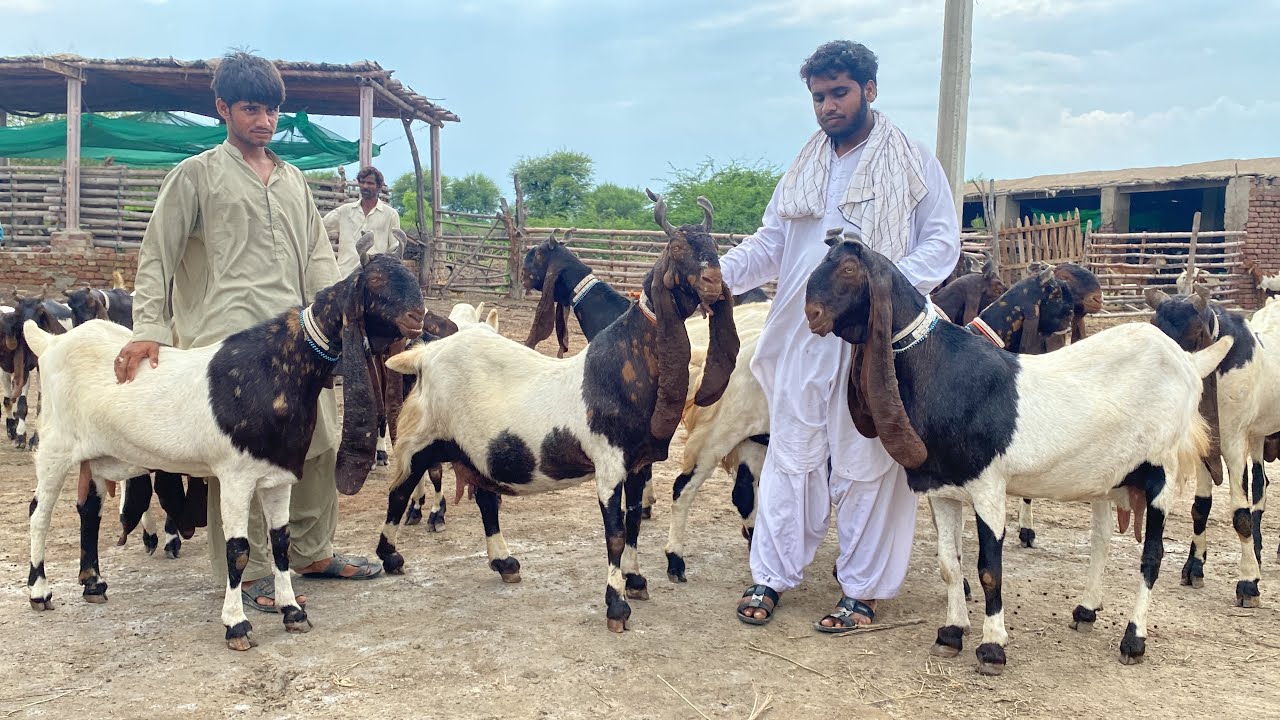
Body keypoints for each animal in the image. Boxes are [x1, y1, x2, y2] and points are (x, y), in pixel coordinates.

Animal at [25, 246, 425, 651]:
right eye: (375, 281)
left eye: (410, 276)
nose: (418, 316)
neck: (275, 369)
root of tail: (51, 344)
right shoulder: (235, 476)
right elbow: (239, 549)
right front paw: (237, 625)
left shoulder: (279, 476)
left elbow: (281, 542)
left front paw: (292, 611)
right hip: (54, 447)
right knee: (39, 513)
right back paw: (39, 591)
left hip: (97, 455)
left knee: (88, 510)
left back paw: (92, 583)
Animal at [377, 192, 738, 632]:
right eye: (677, 249)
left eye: (714, 248)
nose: (713, 282)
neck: (620, 368)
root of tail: (424, 355)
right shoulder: (608, 464)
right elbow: (615, 532)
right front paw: (616, 605)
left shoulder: (639, 463)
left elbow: (635, 521)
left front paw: (636, 580)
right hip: (422, 437)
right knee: (400, 489)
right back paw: (391, 555)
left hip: (474, 449)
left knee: (485, 499)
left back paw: (504, 562)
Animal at [804, 233, 1232, 673]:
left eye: (849, 269)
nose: (812, 314)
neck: (944, 367)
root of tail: (1187, 361)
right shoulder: (941, 489)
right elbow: (949, 565)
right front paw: (950, 633)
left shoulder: (989, 487)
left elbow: (989, 569)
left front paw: (992, 647)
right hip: (1108, 477)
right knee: (1101, 542)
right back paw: (1086, 610)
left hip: (1162, 469)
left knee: (1152, 555)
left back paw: (1133, 639)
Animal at [1146, 286, 1280, 606]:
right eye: (1155, 327)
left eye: (1195, 333)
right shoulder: (1206, 445)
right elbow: (1200, 507)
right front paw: (1194, 566)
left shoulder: (1232, 441)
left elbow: (1240, 513)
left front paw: (1248, 583)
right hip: (1257, 435)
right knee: (1261, 484)